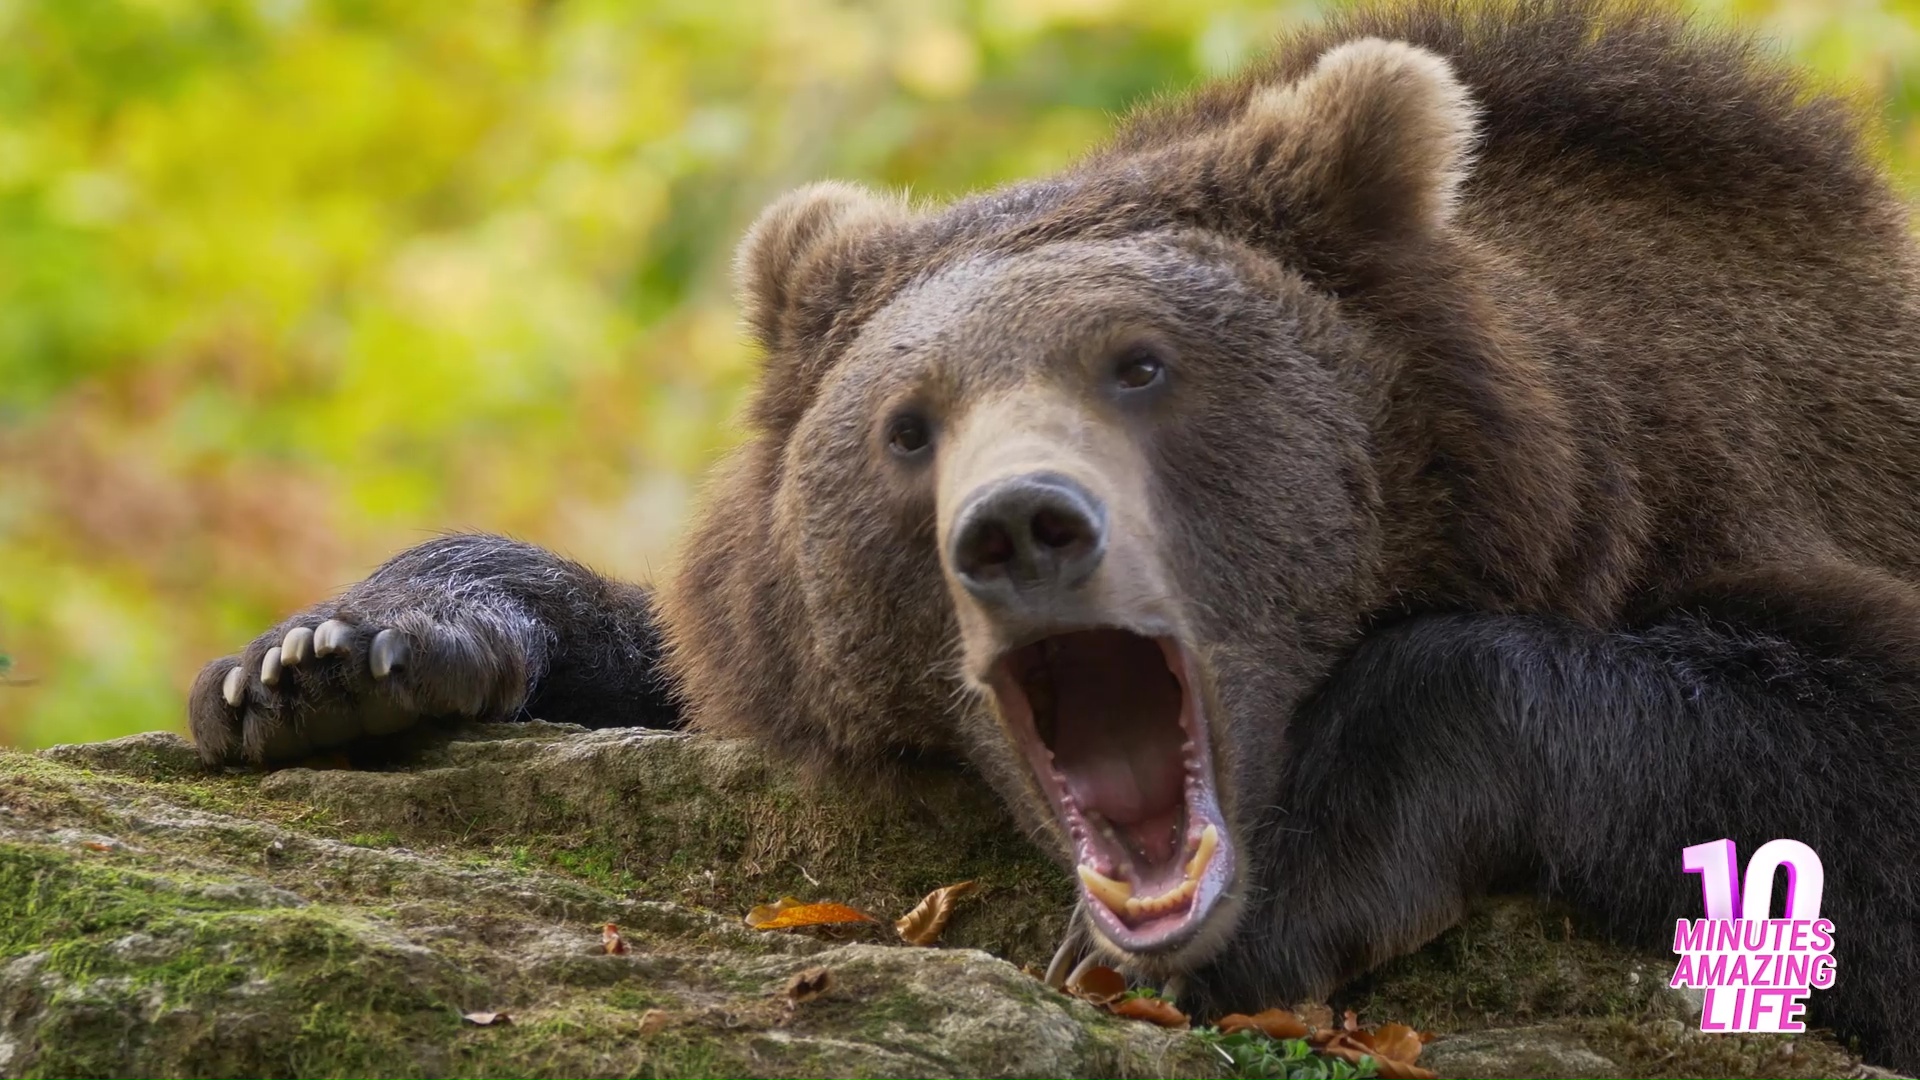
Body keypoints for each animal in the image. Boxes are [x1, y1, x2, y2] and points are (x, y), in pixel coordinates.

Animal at [186, 0, 1920, 1068]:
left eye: (1140, 363)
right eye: (909, 426)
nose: (1020, 528)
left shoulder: (1761, 477)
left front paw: (1297, 890)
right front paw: (329, 656)